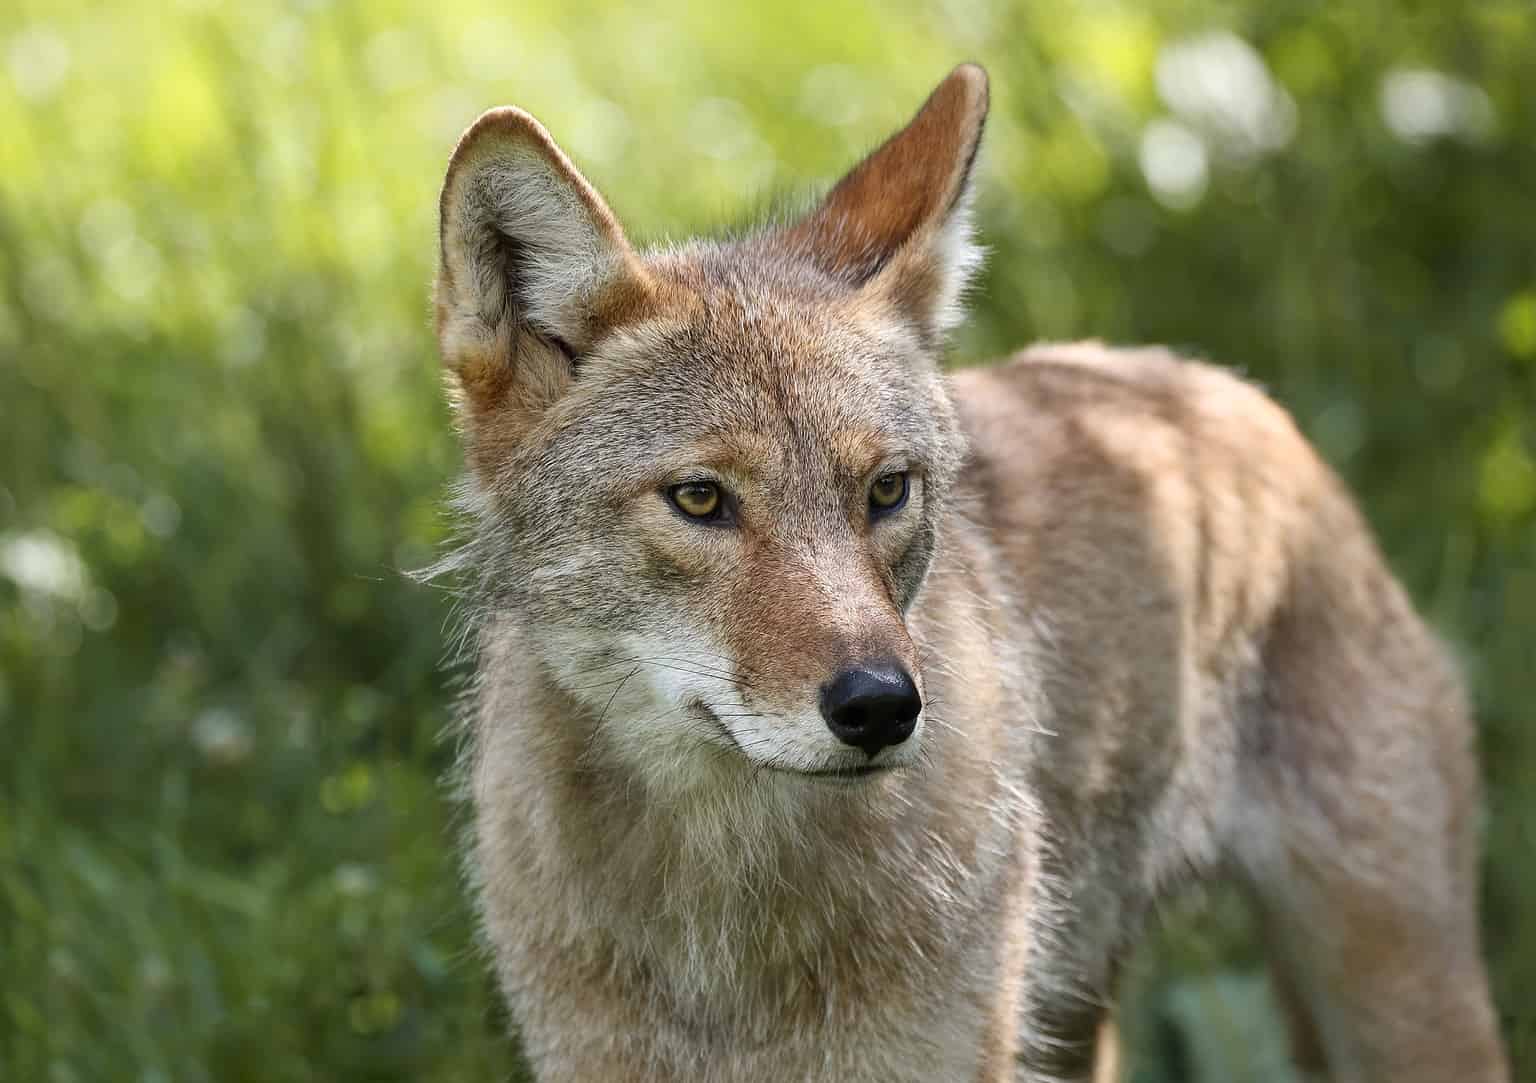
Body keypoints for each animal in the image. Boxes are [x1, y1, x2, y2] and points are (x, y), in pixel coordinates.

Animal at [428, 64, 1509, 1081]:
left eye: (887, 490)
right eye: (700, 500)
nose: (880, 706)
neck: (722, 911)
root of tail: (1220, 389)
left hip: (1405, 1005)